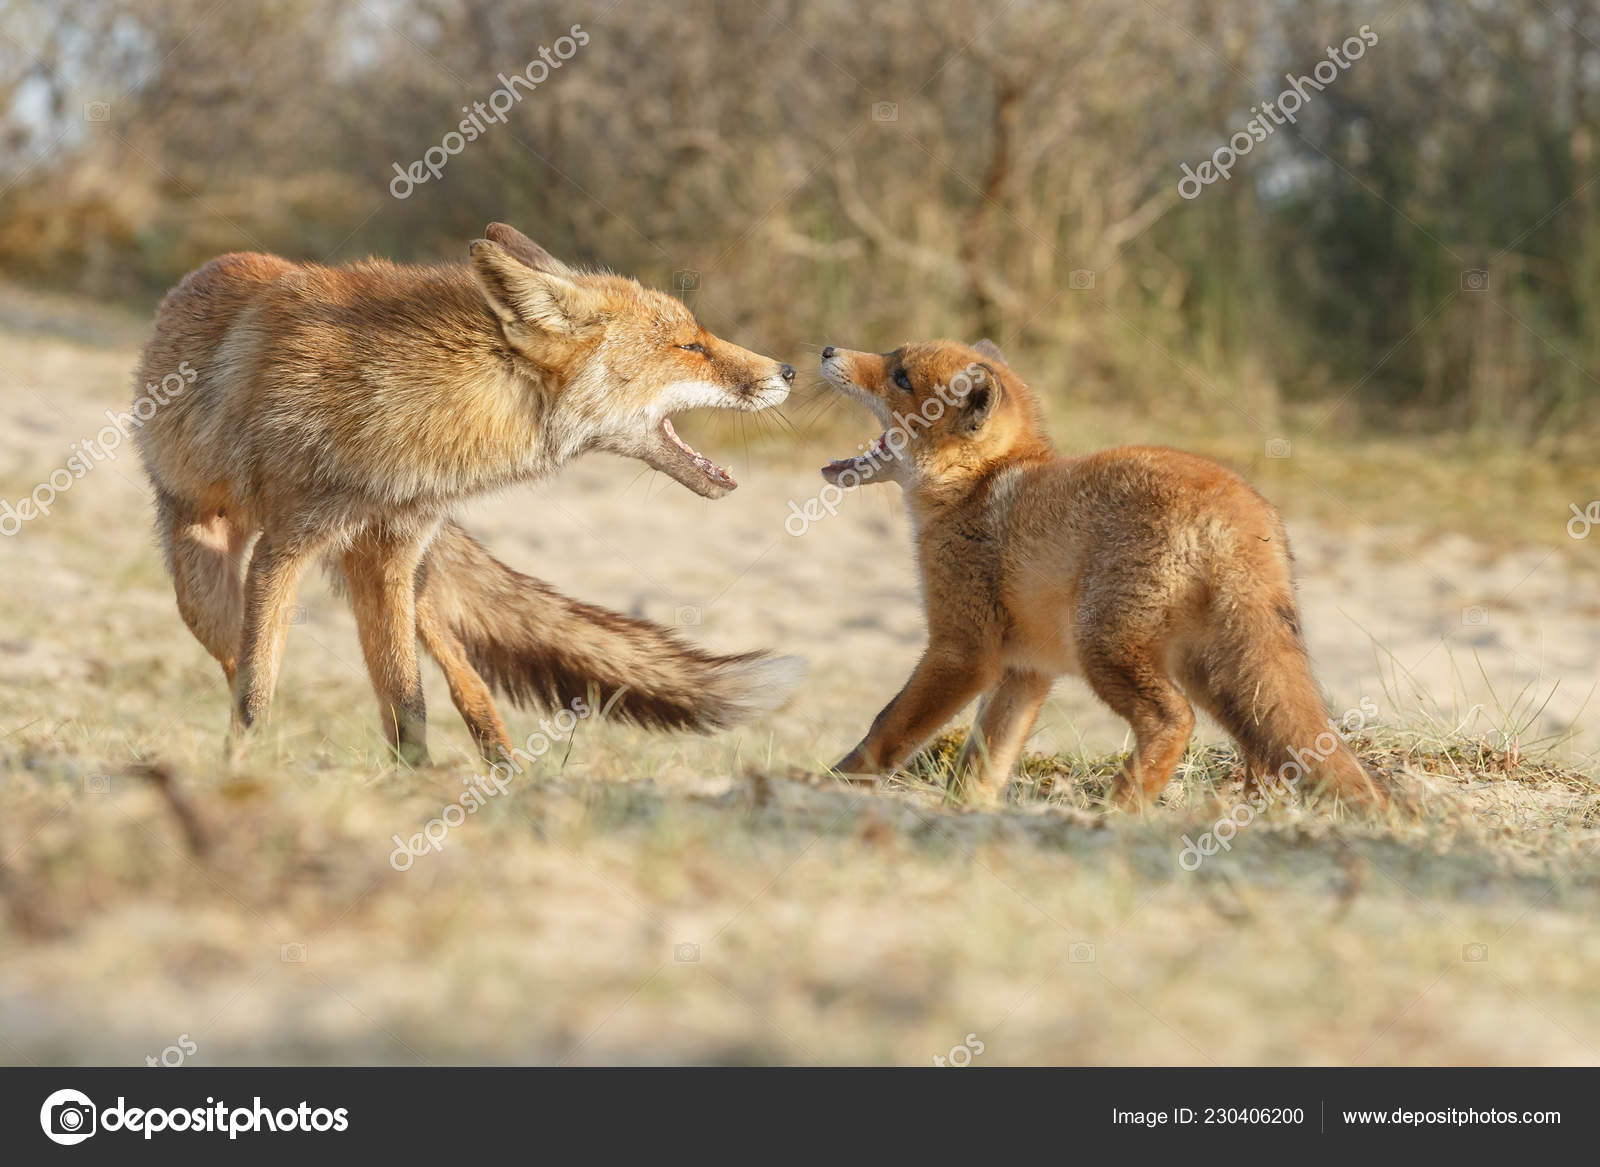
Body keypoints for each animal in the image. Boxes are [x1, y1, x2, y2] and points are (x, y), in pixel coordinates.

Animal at [133, 221, 803, 765]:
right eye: (690, 346)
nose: (790, 371)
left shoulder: (394, 554)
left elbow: (409, 703)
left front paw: (416, 786)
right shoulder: (285, 548)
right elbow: (255, 695)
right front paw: (240, 772)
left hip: (406, 586)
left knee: (466, 681)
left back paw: (506, 776)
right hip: (206, 586)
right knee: (233, 660)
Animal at [816, 338, 1388, 811]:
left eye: (900, 376)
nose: (826, 350)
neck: (977, 486)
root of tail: (1244, 512)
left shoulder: (964, 650)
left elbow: (886, 729)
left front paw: (830, 784)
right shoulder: (1025, 669)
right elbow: (980, 766)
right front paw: (970, 814)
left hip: (1106, 645)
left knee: (1173, 721)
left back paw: (1121, 809)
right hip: (1219, 673)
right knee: (1266, 749)